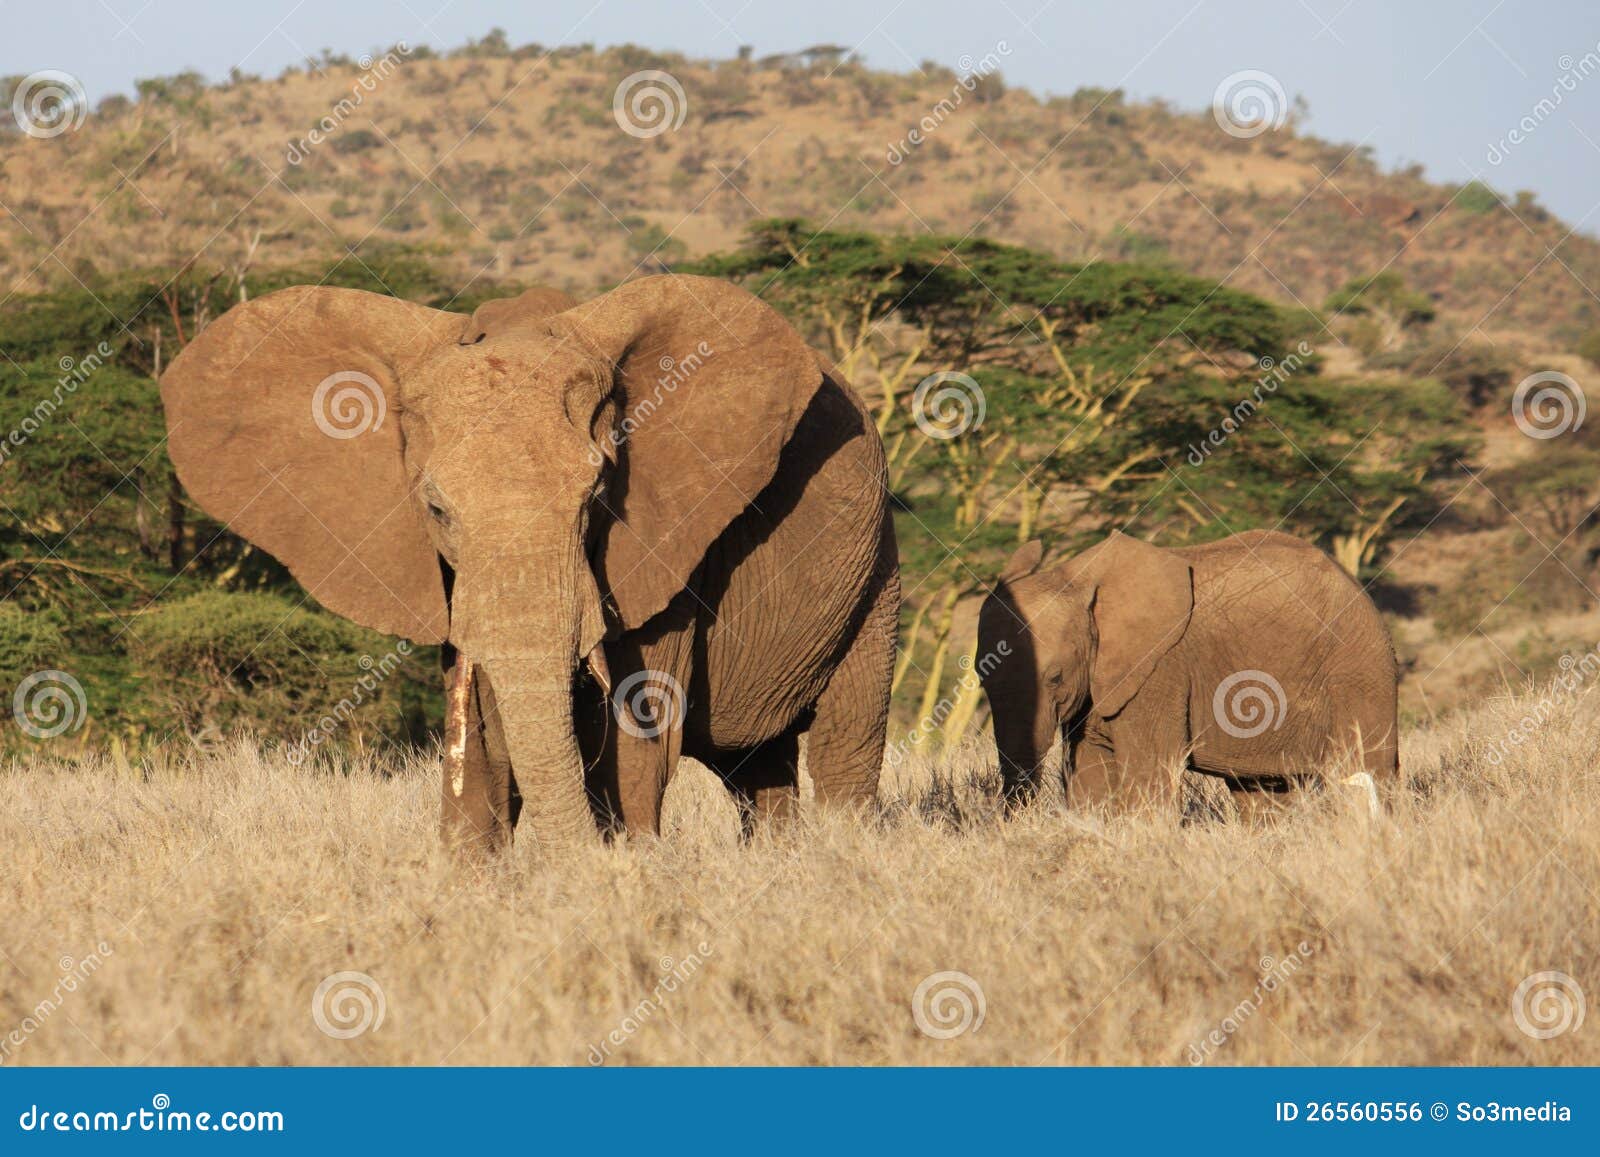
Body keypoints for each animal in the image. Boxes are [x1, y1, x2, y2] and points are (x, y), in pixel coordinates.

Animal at [160, 274, 900, 854]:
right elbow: (483, 732)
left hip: (875, 569)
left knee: (844, 744)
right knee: (757, 770)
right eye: (435, 510)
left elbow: (638, 729)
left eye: (596, 497)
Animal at [976, 530, 1397, 818]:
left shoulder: (1160, 669)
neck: (1076, 579)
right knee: (1261, 790)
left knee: (1365, 771)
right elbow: (1089, 775)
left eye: (1055, 678)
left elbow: (1148, 773)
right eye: (982, 682)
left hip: (1359, 669)